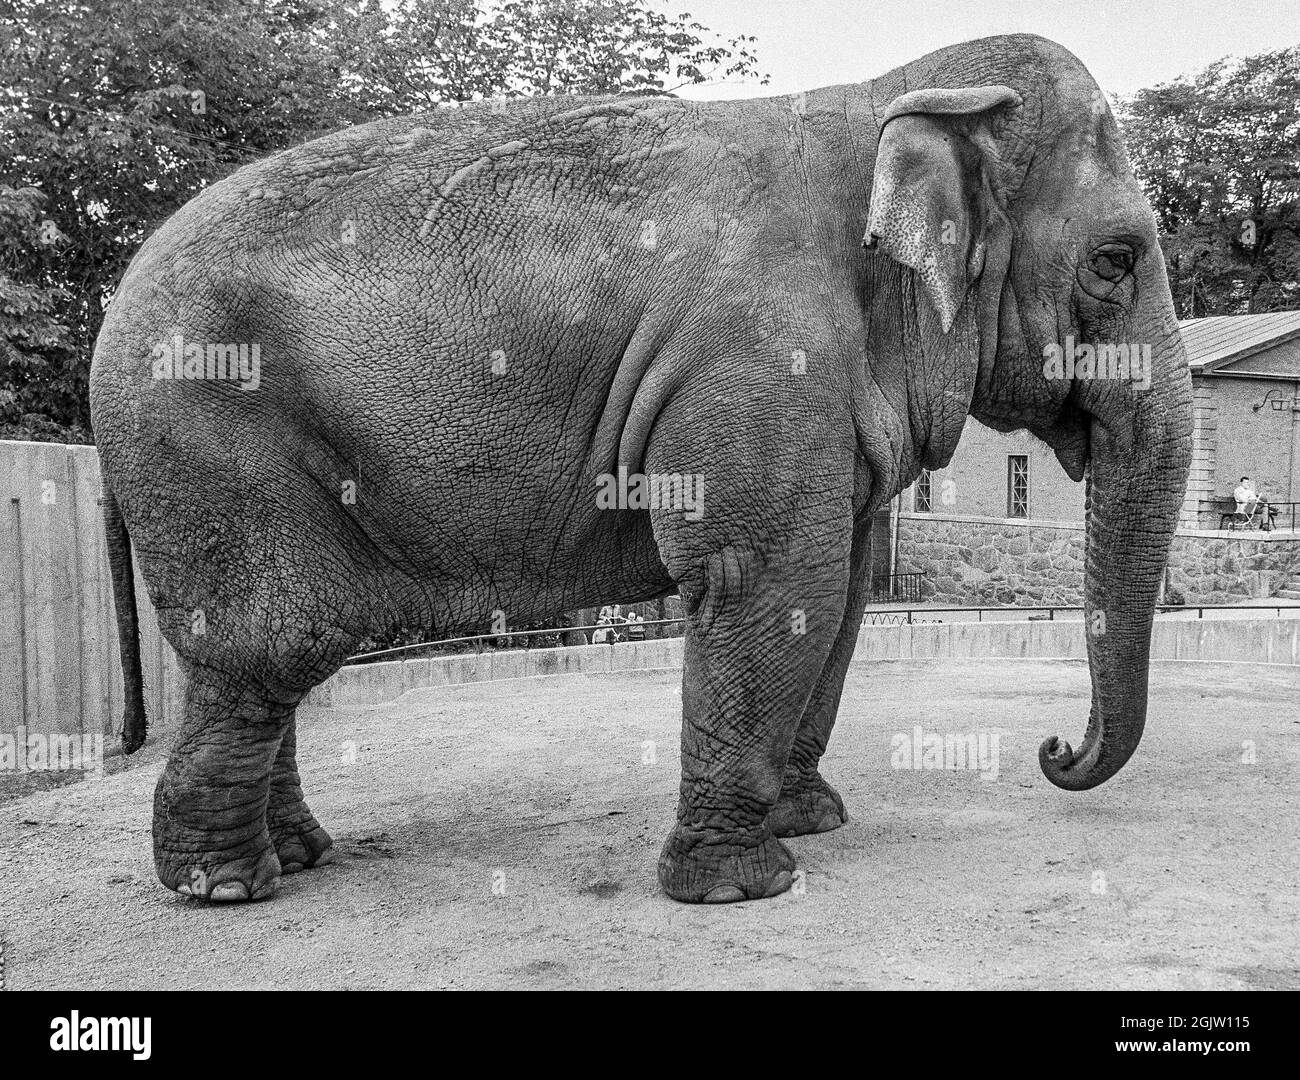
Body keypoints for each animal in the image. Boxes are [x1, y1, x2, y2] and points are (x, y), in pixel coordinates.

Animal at [90, 32, 1193, 905]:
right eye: (1116, 260)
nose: (1053, 751)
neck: (888, 94)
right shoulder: (756, 363)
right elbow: (769, 581)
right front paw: (744, 886)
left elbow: (839, 595)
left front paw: (811, 823)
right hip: (211, 443)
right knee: (271, 646)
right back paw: (226, 886)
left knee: (264, 667)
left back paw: (298, 856)